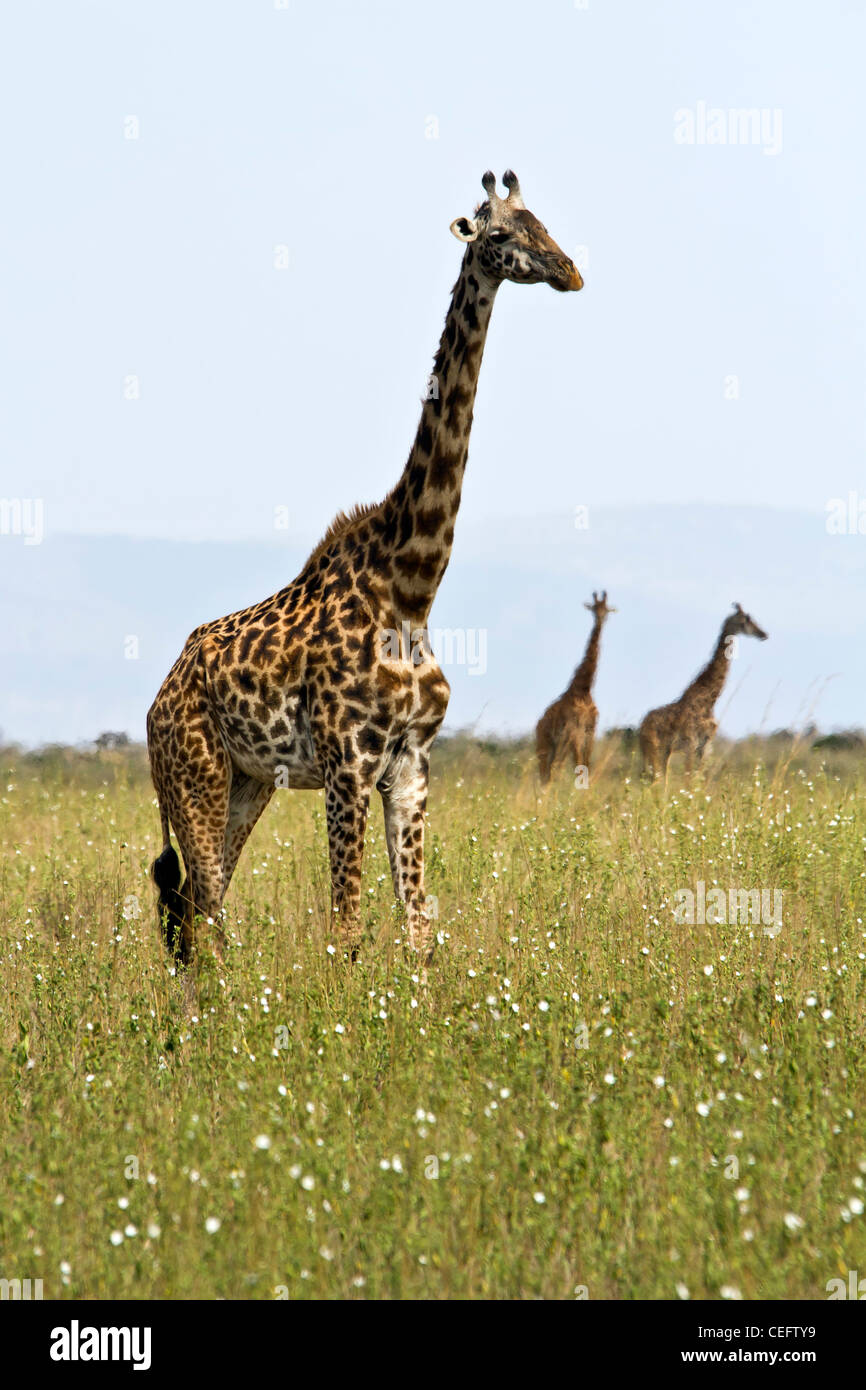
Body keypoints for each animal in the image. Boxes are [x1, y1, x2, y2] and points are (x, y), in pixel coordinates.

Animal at [147, 170, 583, 964]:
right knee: (201, 912)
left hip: (246, 783)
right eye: (502, 233)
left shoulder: (410, 764)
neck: (411, 587)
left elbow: (417, 930)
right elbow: (346, 927)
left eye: (545, 221)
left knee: (201, 907)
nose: (571, 271)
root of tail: (156, 700)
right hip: (193, 777)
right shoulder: (347, 763)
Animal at [535, 590, 615, 785]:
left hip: (557, 745)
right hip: (544, 746)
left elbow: (586, 766)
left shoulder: (590, 731)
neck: (584, 690)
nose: (600, 620)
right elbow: (578, 767)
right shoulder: (574, 732)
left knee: (551, 771)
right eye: (594, 609)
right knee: (546, 772)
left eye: (606, 610)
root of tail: (537, 725)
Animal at [638, 603, 768, 779]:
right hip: (655, 750)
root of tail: (641, 728)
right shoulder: (691, 746)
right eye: (746, 619)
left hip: (663, 752)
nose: (763, 634)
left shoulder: (705, 747)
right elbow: (690, 782)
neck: (710, 700)